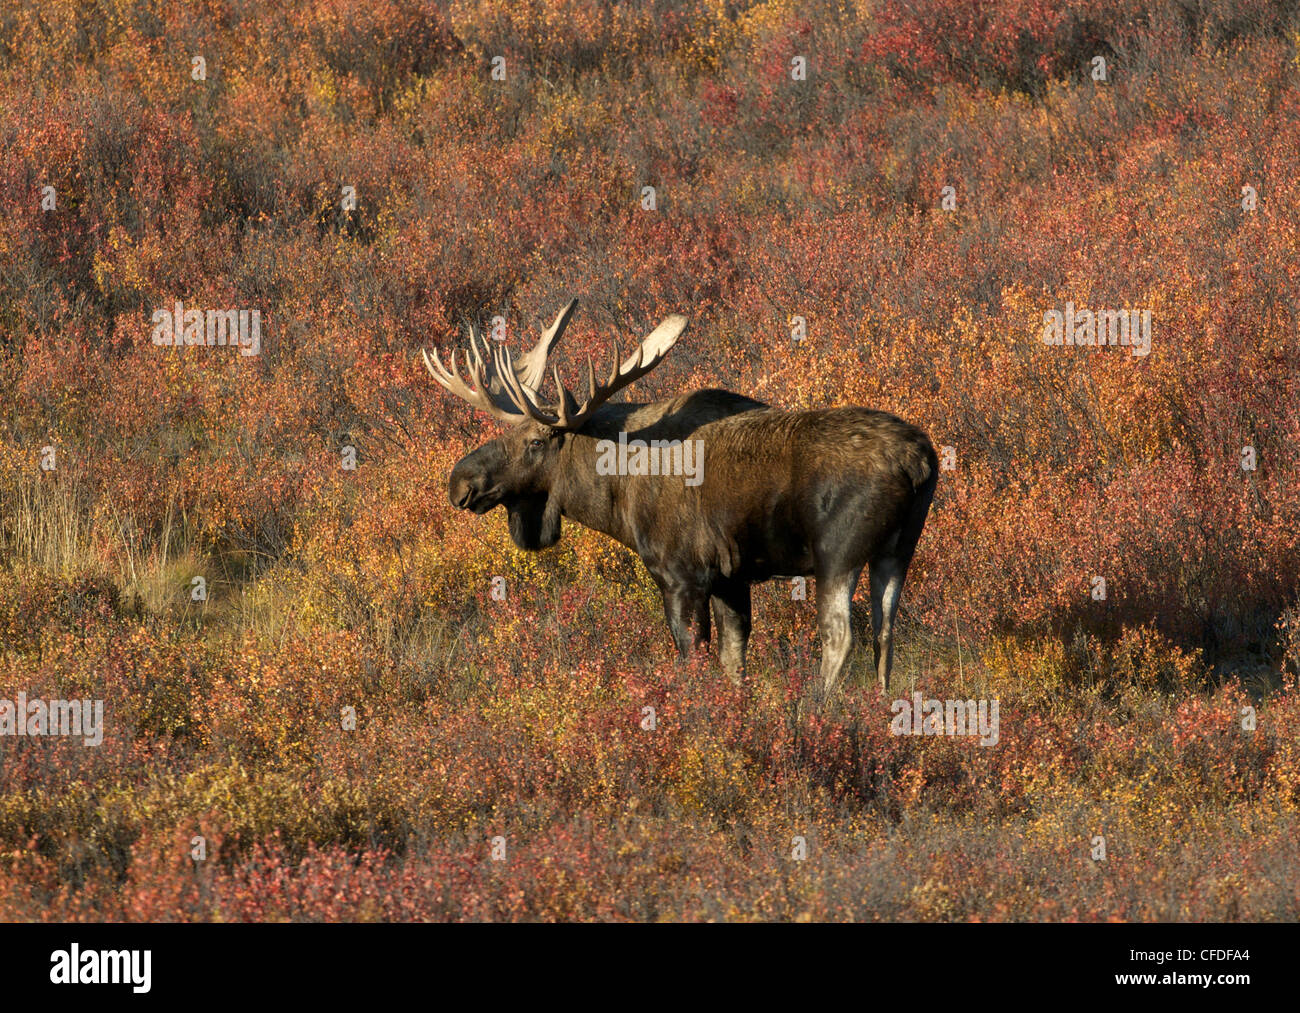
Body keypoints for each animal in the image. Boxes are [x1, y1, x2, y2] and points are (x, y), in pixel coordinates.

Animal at [423, 299, 937, 699]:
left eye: (535, 441)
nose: (460, 481)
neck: (615, 495)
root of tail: (920, 461)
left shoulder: (680, 574)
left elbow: (694, 661)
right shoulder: (731, 577)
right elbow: (733, 662)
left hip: (838, 554)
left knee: (839, 637)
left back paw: (814, 709)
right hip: (898, 551)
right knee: (884, 633)